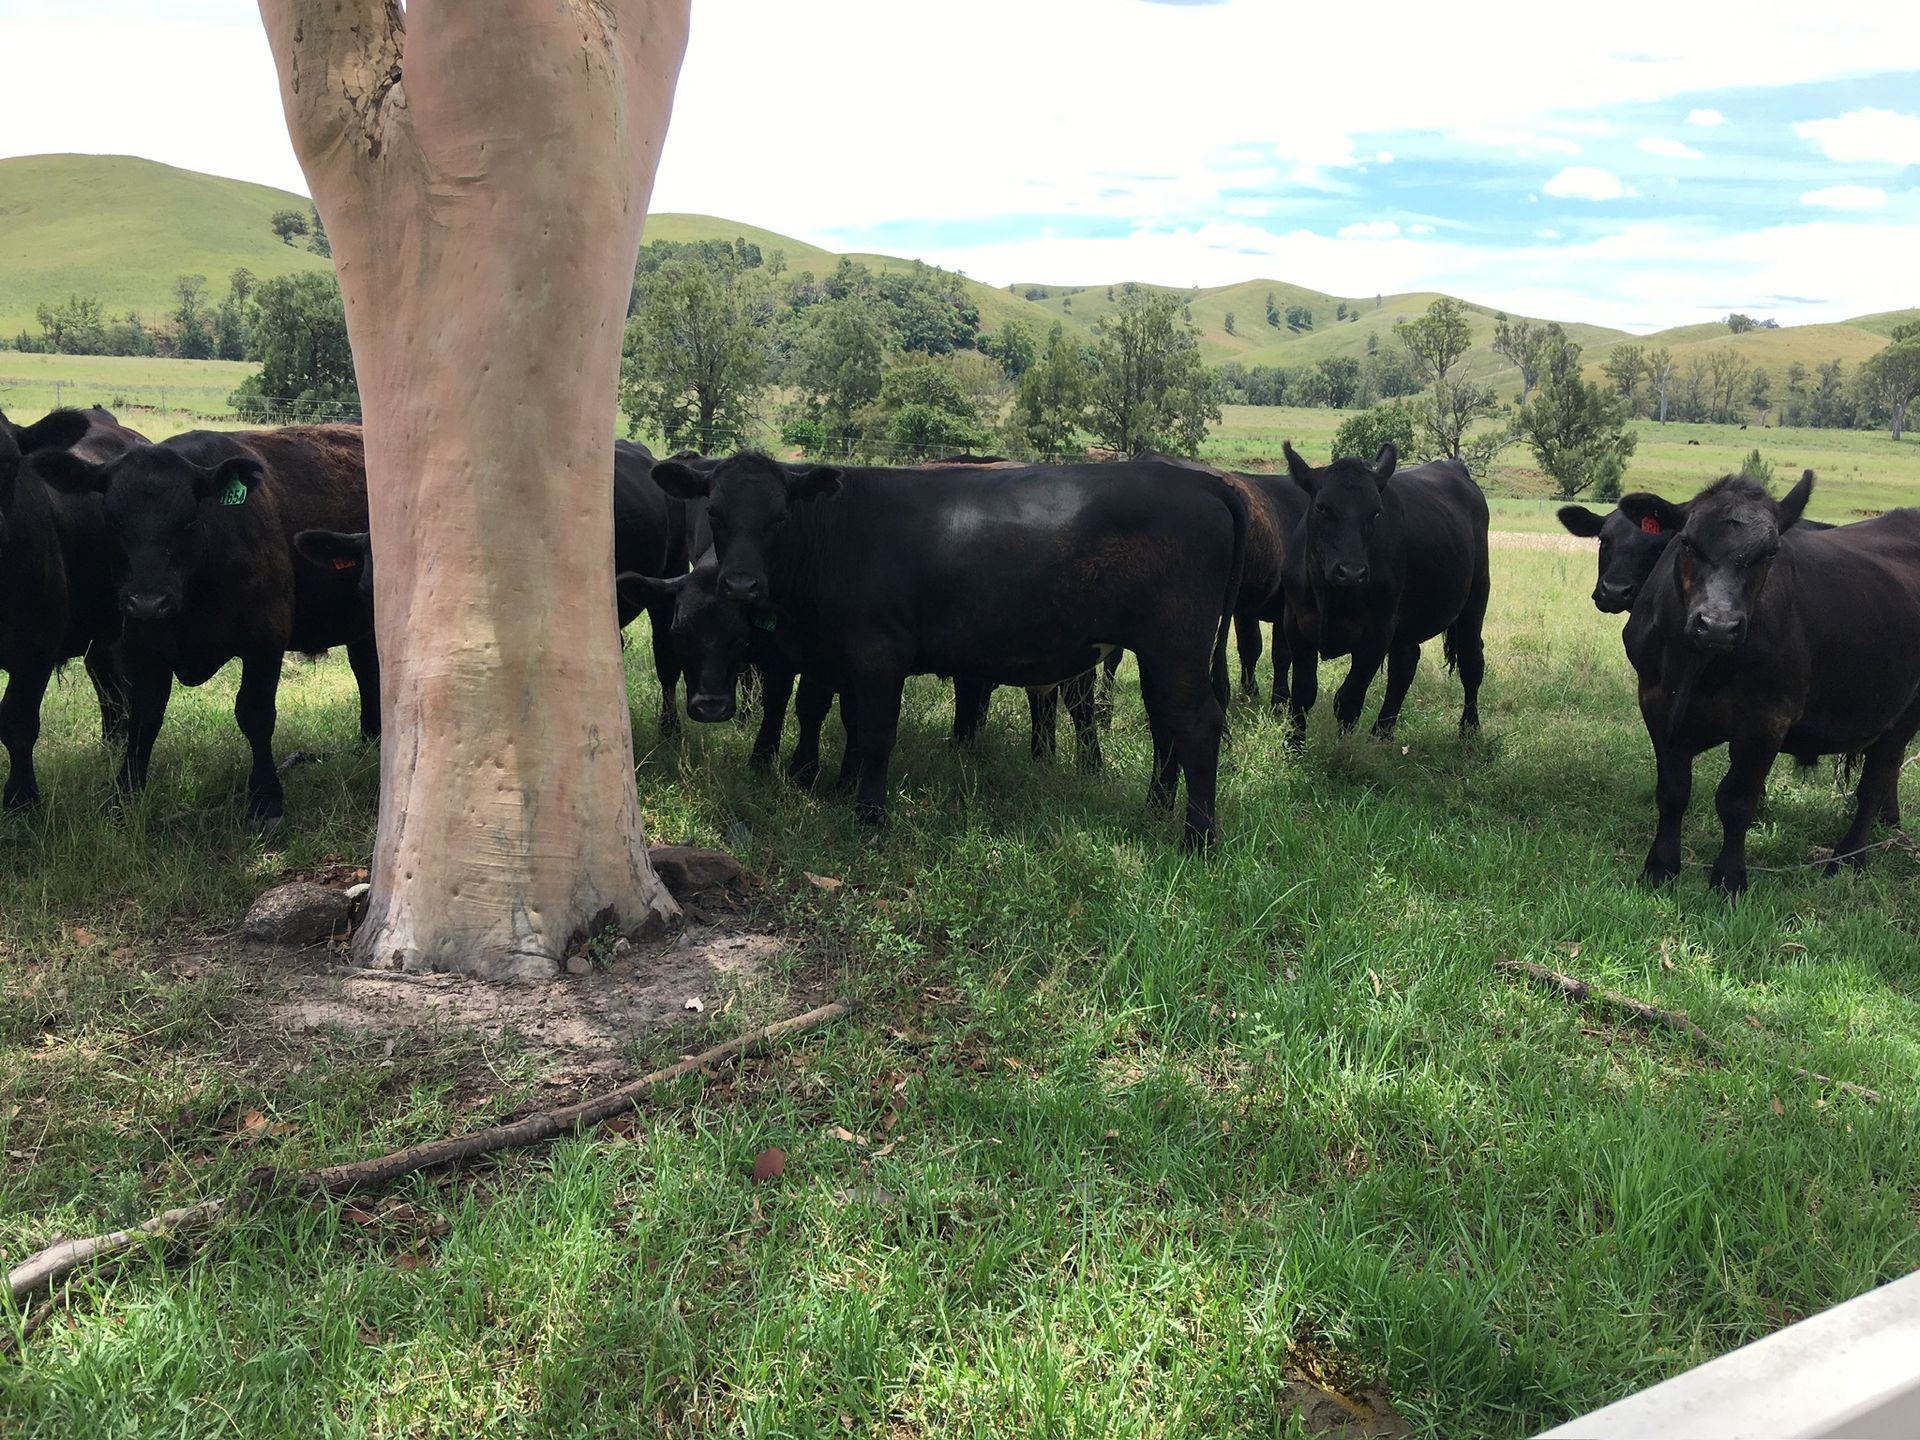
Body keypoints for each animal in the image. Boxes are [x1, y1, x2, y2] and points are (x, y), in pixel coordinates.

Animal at [35, 426, 373, 823]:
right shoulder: (141, 645)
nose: (148, 602)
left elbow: (255, 713)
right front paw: (124, 795)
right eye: (113, 520)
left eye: (188, 520)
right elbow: (143, 717)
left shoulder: (266, 638)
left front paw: (266, 799)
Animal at [648, 453, 1246, 846]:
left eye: (779, 517)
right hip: (1159, 652)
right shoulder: (844, 660)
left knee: (1196, 724)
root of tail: (1201, 482)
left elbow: (875, 736)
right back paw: (1154, 812)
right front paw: (841, 790)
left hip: (1177, 643)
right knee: (1165, 725)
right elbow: (846, 723)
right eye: (716, 514)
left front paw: (870, 816)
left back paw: (1198, 839)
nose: (740, 584)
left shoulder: (878, 654)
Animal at [1276, 442, 1489, 745]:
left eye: (1376, 511)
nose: (1351, 572)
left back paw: (1469, 730)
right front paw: (1294, 745)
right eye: (1321, 507)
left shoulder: (1377, 634)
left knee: (1471, 662)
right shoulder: (1295, 625)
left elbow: (1348, 699)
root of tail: (1453, 466)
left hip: (1475, 596)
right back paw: (1382, 734)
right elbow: (1304, 694)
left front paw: (1343, 749)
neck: (1330, 597)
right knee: (1405, 664)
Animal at [1622, 472, 1920, 894]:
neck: (1699, 666)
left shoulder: (1766, 720)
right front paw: (1660, 868)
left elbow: (1736, 801)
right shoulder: (1657, 706)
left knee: (1874, 781)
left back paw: (1848, 859)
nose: (1718, 625)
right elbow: (1673, 792)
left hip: (1906, 711)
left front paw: (1729, 879)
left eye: (1771, 552)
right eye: (1686, 542)